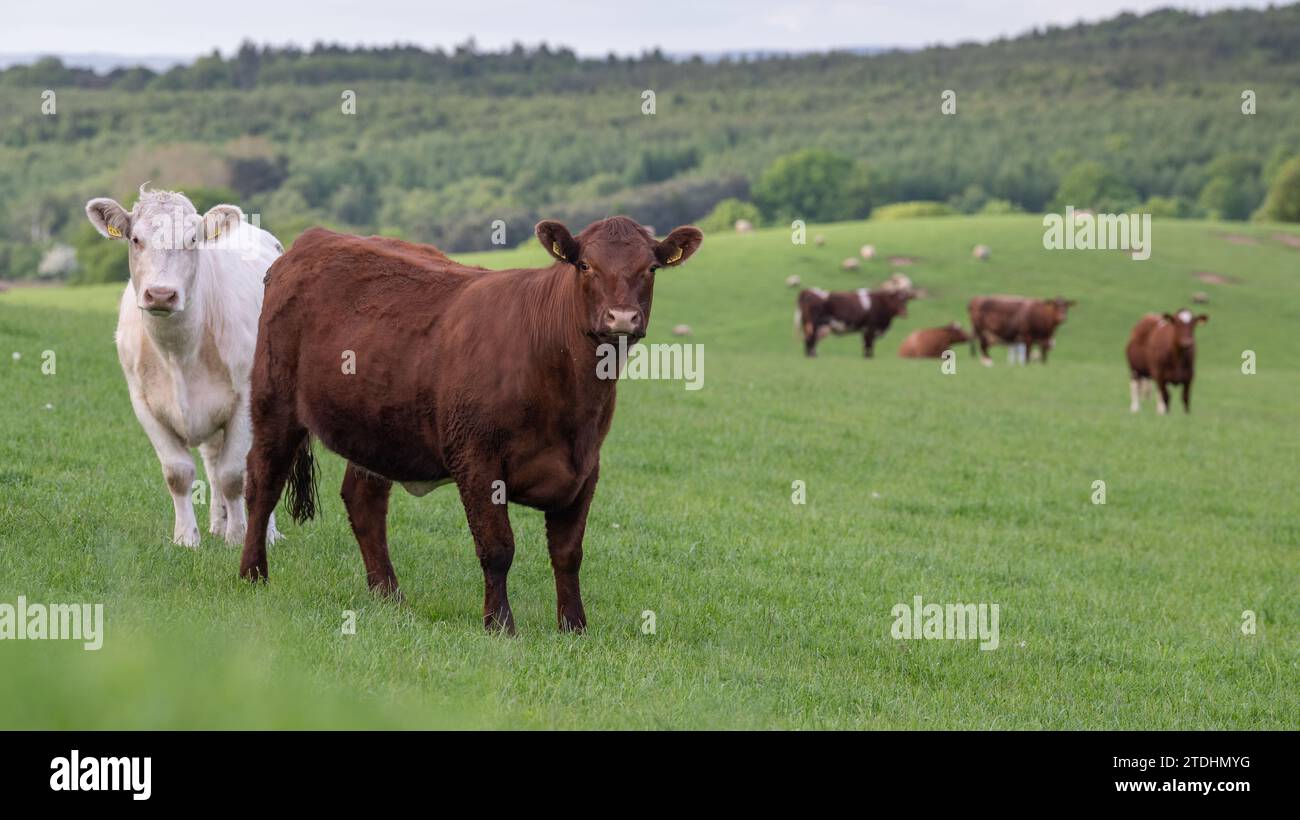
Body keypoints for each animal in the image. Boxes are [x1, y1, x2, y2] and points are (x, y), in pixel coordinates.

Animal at [85, 185, 282, 547]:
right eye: (136, 239)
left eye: (192, 239)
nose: (161, 294)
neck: (179, 353)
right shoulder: (143, 404)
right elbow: (179, 473)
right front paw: (187, 538)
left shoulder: (244, 399)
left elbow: (233, 475)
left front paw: (238, 536)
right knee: (212, 461)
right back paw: (217, 523)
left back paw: (267, 532)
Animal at [237, 217, 703, 634]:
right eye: (585, 265)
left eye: (651, 268)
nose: (621, 318)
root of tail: (313, 239)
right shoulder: (477, 459)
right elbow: (497, 547)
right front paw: (499, 624)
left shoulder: (586, 467)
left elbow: (568, 553)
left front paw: (574, 626)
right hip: (274, 402)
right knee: (262, 484)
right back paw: (252, 575)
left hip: (375, 428)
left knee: (363, 502)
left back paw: (389, 595)